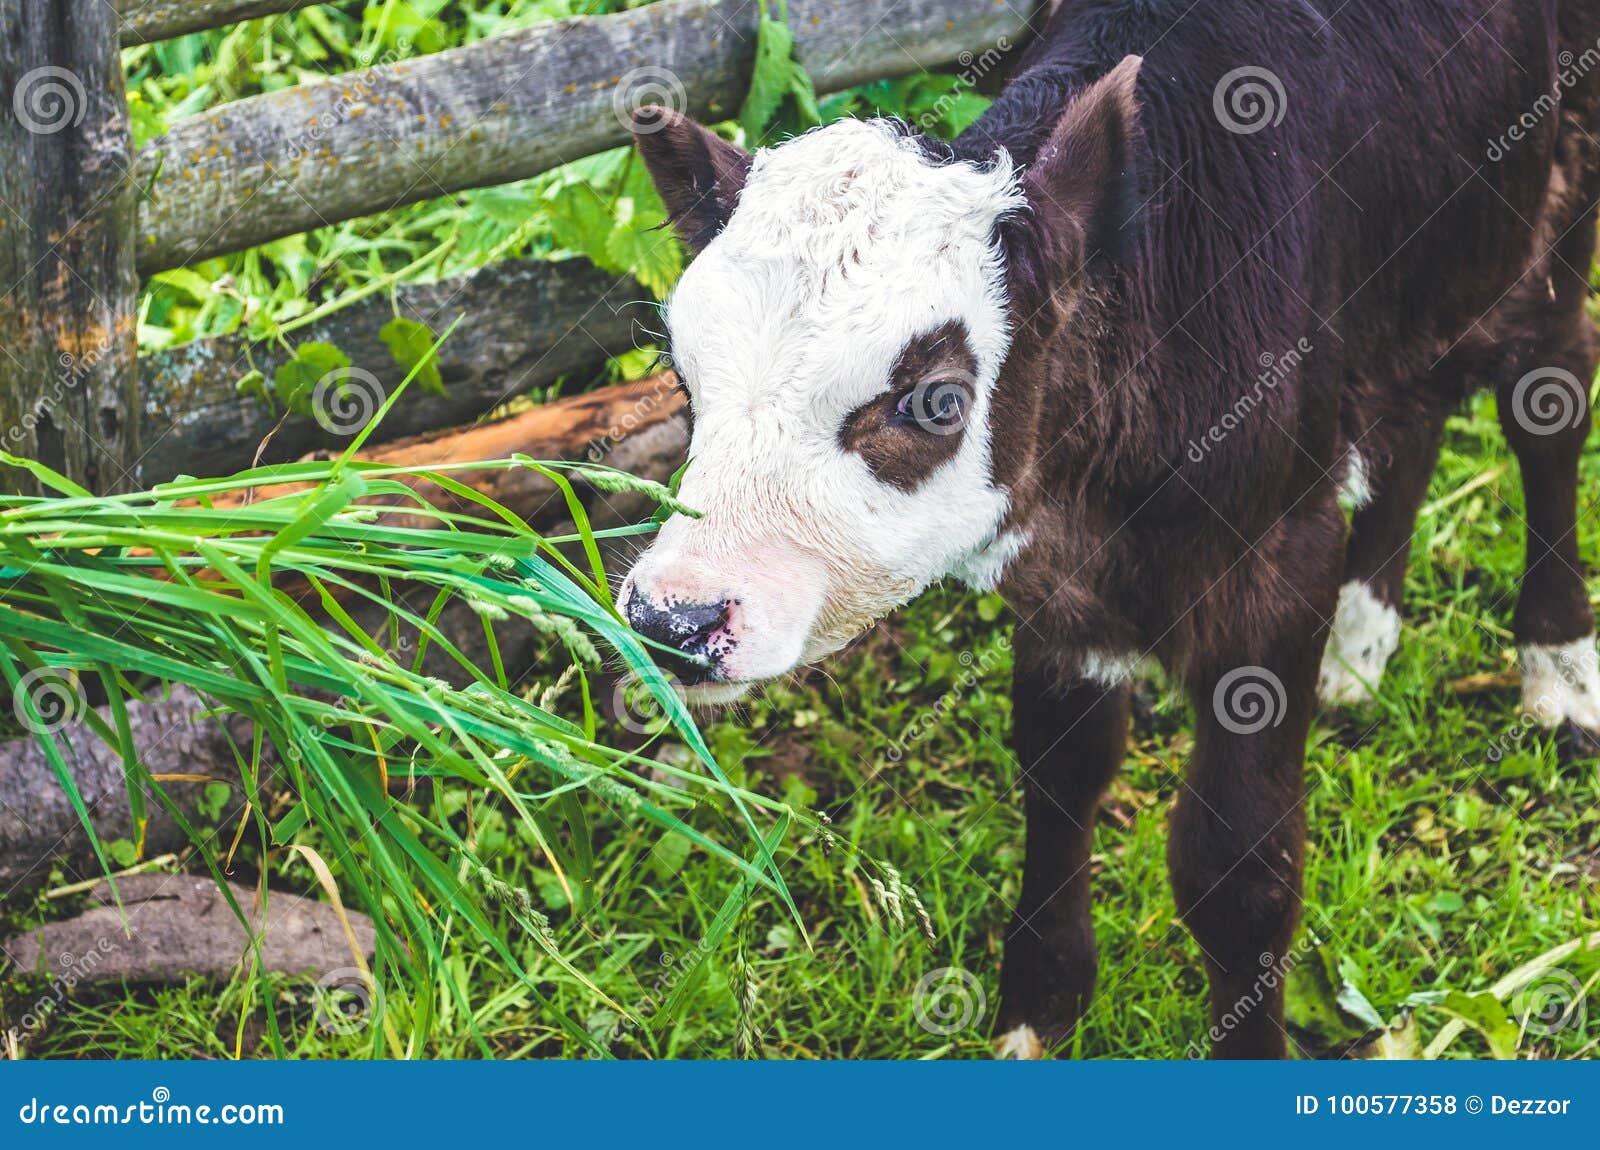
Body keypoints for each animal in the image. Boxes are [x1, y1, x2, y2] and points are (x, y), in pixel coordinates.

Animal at [618, 0, 1600, 1058]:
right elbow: (1062, 773)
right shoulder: (1065, 585)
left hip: (1563, 195)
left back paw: (1559, 668)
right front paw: (1039, 1009)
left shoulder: (1277, 558)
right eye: (683, 378)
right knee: (1413, 410)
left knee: (1549, 392)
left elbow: (1237, 866)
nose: (673, 619)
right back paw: (1362, 646)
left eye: (935, 401)